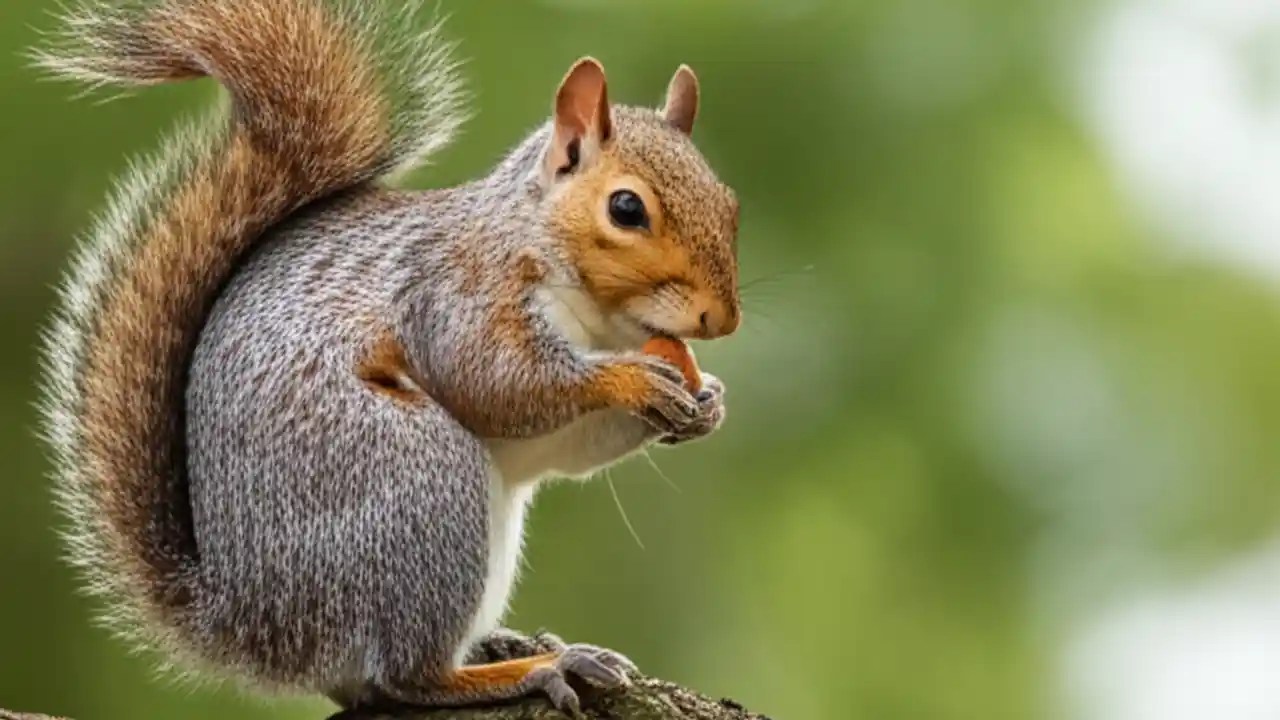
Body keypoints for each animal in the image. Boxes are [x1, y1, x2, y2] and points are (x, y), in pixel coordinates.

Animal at [35, 0, 740, 713]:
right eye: (626, 208)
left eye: (729, 203)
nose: (723, 318)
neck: (593, 319)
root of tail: (254, 627)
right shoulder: (456, 294)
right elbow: (498, 383)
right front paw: (633, 382)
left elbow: (560, 447)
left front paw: (706, 401)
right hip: (419, 479)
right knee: (407, 677)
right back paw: (534, 667)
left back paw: (507, 645)